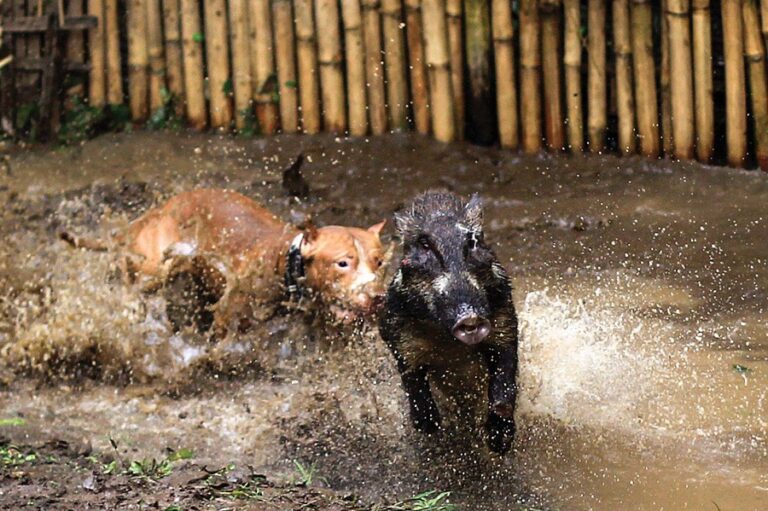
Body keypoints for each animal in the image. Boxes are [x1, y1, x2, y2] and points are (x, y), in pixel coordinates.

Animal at [62, 188, 388, 336]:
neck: (285, 261)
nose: (377, 296)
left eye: (379, 262)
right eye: (342, 263)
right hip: (155, 266)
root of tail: (160, 209)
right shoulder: (227, 320)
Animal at [379, 190, 518, 455]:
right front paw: (428, 425)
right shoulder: (397, 334)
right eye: (425, 245)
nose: (469, 316)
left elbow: (505, 379)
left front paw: (498, 444)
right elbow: (412, 379)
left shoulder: (505, 322)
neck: (450, 342)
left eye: (472, 242)